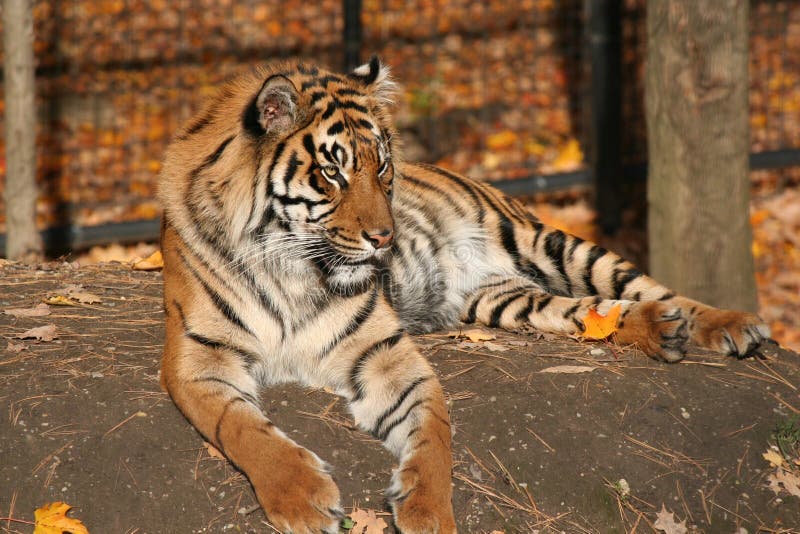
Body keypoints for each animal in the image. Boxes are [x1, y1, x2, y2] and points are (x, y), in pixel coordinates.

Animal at [157, 56, 770, 534]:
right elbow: (242, 429)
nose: (386, 239)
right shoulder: (197, 358)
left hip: (549, 242)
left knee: (649, 287)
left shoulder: (385, 354)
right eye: (332, 174)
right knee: (591, 312)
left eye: (382, 167)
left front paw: (427, 512)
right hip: (509, 301)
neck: (295, 270)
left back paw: (727, 325)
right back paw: (662, 329)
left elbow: (433, 436)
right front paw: (303, 501)